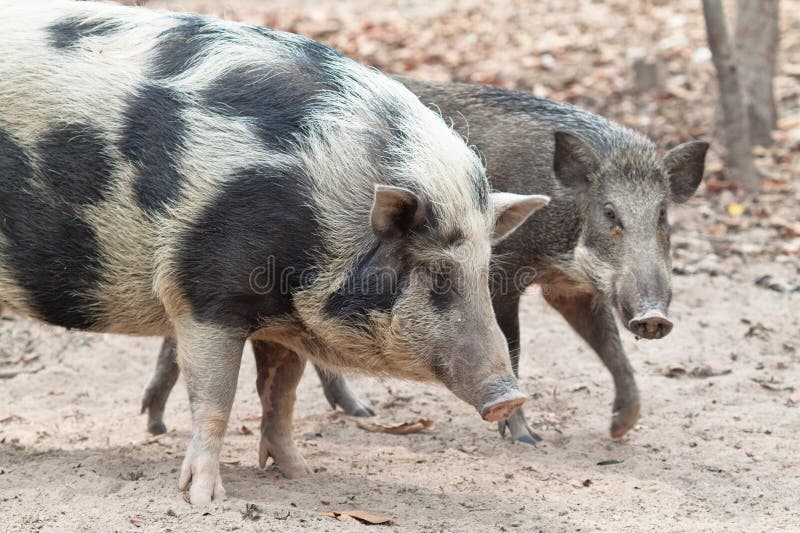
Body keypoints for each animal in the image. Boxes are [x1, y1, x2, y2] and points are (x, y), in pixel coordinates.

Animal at [0, 1, 549, 504]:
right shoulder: (203, 295)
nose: (510, 395)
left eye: (484, 270)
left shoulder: (282, 322)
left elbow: (281, 397)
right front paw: (205, 499)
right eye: (436, 273)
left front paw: (300, 475)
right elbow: (216, 398)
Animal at [142, 76, 708, 447]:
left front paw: (620, 429)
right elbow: (515, 346)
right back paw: (157, 425)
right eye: (610, 213)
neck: (561, 225)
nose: (654, 317)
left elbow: (610, 347)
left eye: (663, 215)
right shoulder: (502, 275)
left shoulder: (569, 288)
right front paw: (526, 438)